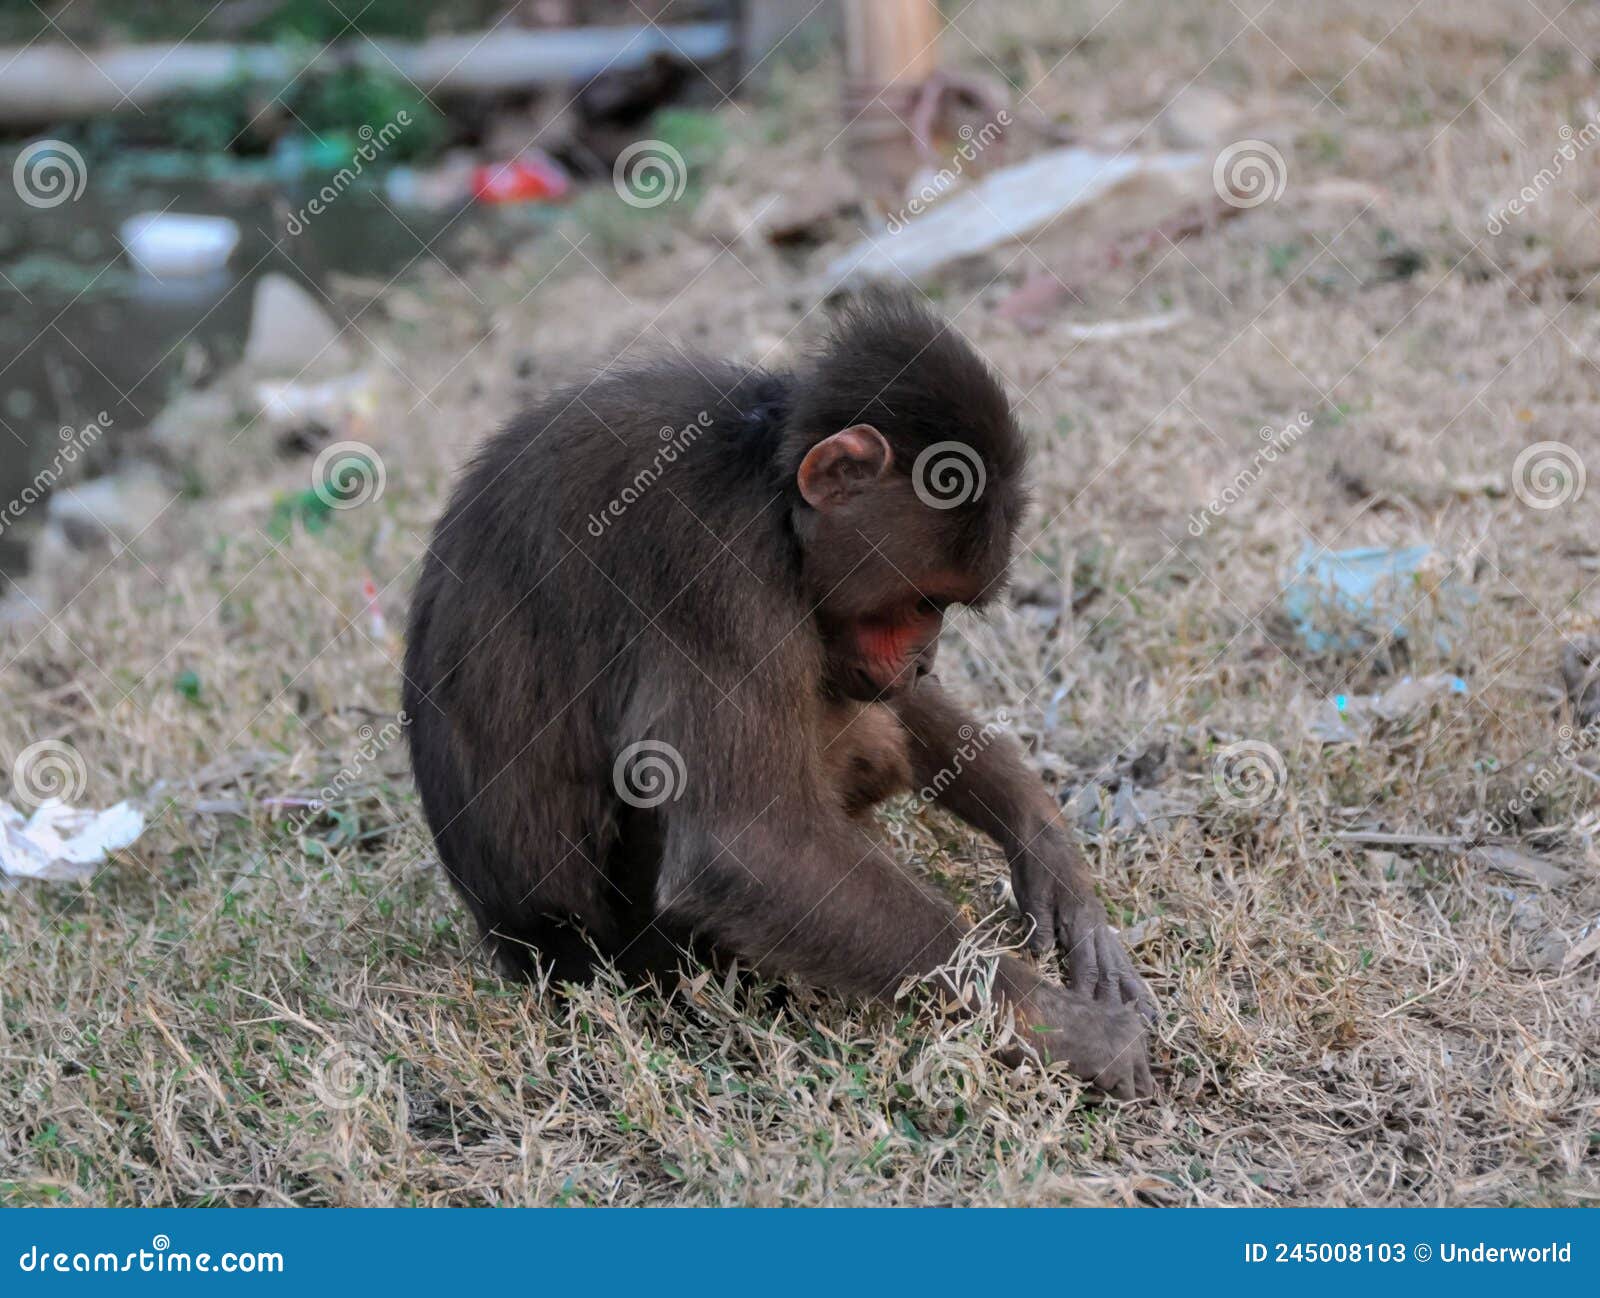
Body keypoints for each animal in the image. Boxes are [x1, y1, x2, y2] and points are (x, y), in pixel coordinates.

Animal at [403, 292, 1155, 1099]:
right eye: (921, 602)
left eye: (942, 609)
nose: (925, 660)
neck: (767, 479)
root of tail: (528, 954)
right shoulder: (719, 568)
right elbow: (744, 845)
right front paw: (1066, 1029)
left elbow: (876, 703)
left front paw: (1051, 858)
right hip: (639, 953)